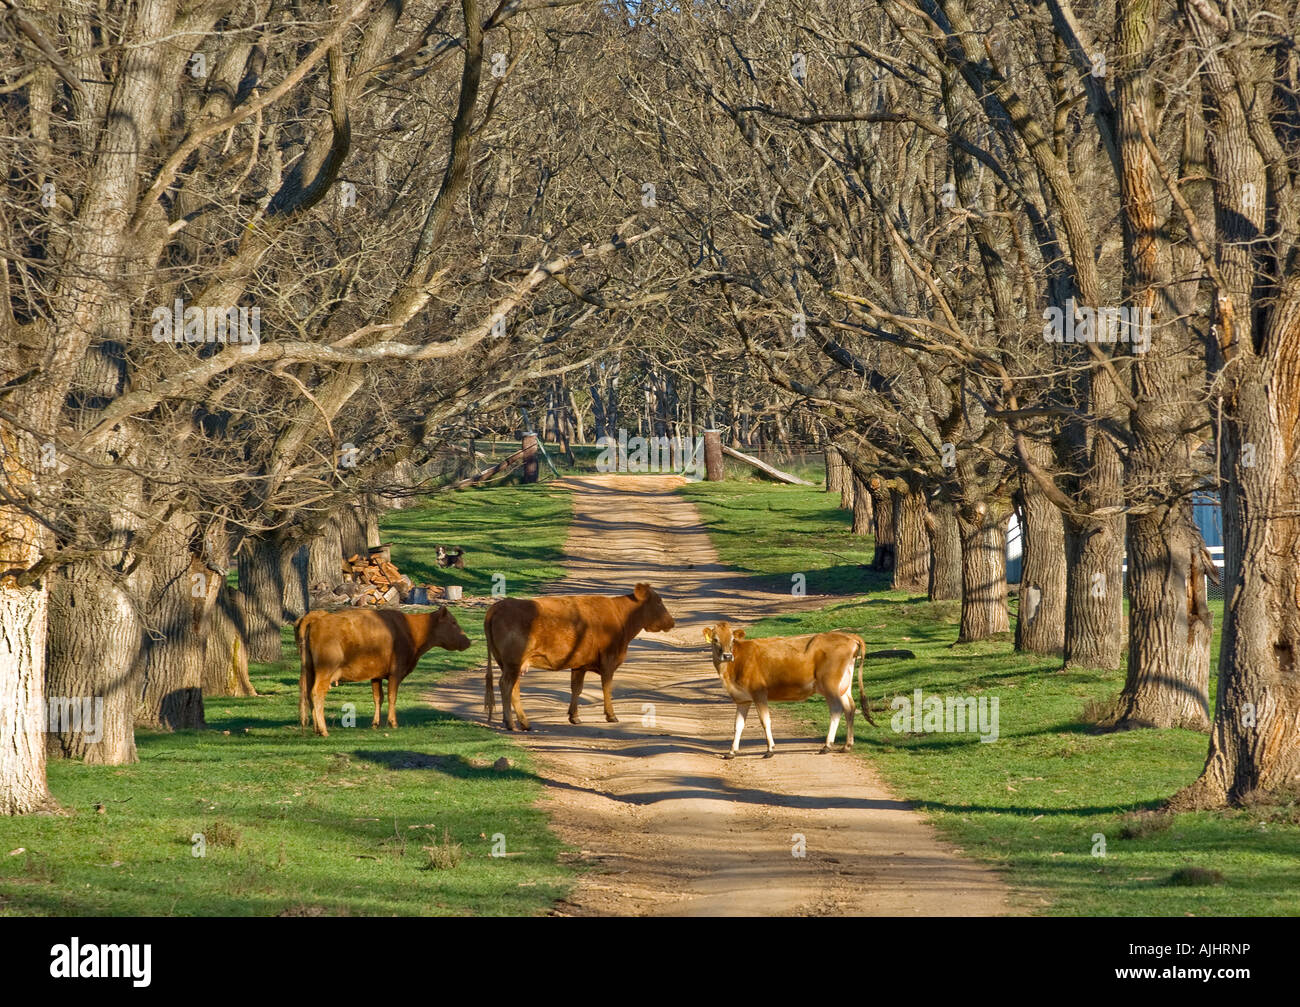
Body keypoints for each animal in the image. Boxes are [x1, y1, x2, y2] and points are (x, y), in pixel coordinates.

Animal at [296, 606, 471, 737]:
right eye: (453, 622)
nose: (468, 641)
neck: (410, 629)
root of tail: (320, 616)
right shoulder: (395, 673)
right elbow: (392, 697)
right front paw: (393, 723)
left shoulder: (376, 675)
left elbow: (378, 698)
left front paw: (375, 723)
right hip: (325, 670)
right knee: (317, 693)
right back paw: (324, 730)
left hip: (310, 670)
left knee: (308, 694)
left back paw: (316, 729)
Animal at [483, 583, 676, 731]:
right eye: (659, 602)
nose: (672, 622)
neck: (621, 618)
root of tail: (499, 605)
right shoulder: (608, 660)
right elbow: (607, 688)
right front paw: (611, 715)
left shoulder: (579, 664)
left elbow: (576, 688)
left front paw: (574, 716)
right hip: (513, 663)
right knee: (506, 685)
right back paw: (510, 723)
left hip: (510, 664)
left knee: (514, 688)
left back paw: (523, 722)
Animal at [702, 622, 877, 759]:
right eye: (716, 640)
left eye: (732, 639)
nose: (727, 655)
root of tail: (849, 636)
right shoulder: (742, 699)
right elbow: (738, 725)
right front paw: (731, 752)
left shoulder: (759, 693)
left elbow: (765, 721)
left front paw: (770, 749)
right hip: (844, 685)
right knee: (850, 708)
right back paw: (847, 746)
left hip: (830, 685)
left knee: (836, 710)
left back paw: (827, 746)